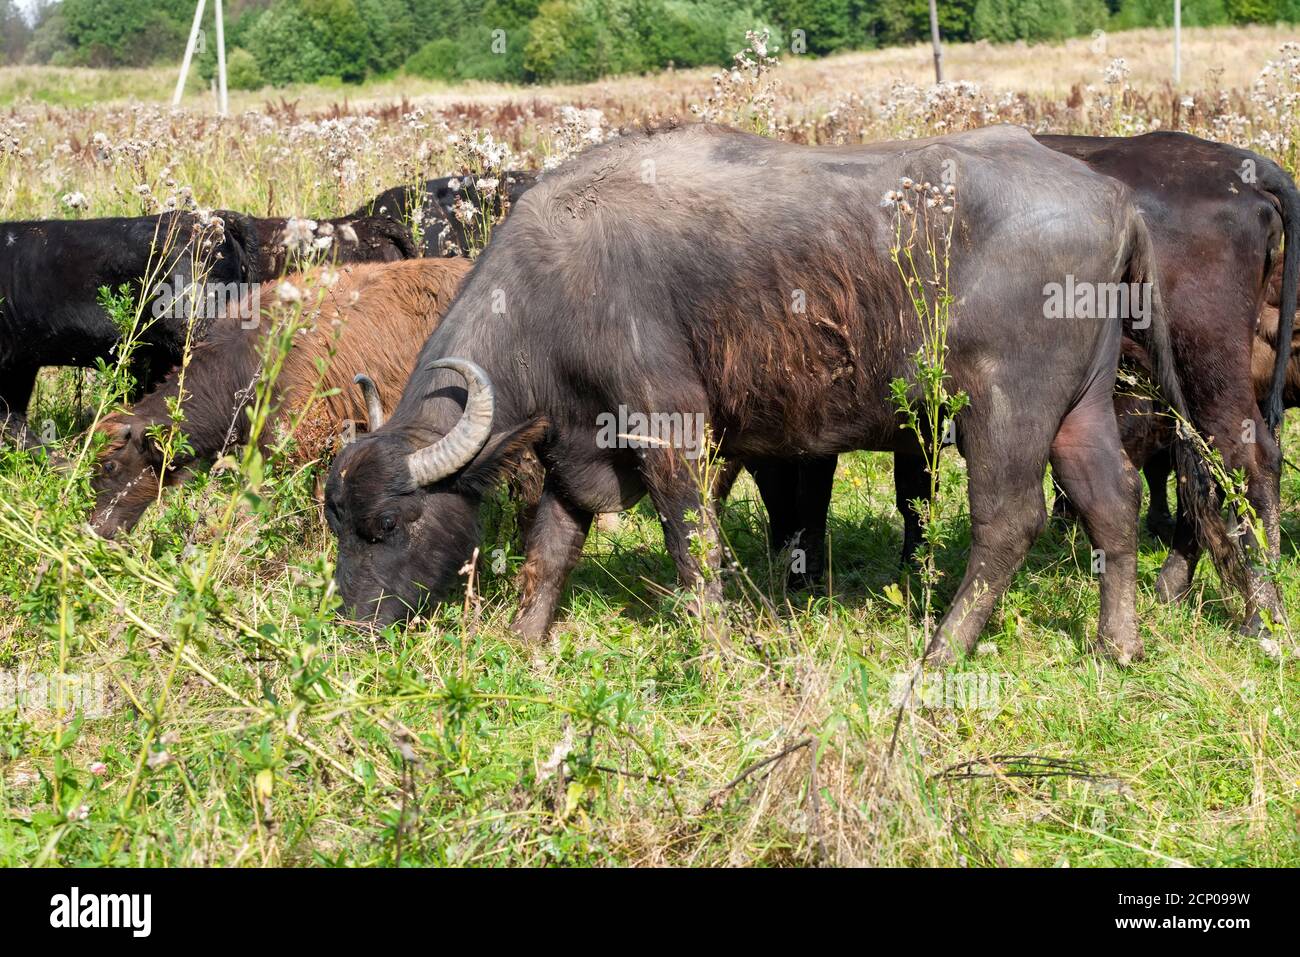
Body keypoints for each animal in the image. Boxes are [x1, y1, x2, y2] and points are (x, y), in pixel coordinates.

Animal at [325, 122, 1244, 664]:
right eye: (337, 524)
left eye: (391, 525)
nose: (354, 626)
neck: (556, 288)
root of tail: (1115, 200)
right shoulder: (576, 447)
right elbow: (550, 549)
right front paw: (524, 642)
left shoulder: (672, 433)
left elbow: (693, 545)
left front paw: (712, 647)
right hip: (1079, 406)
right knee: (1113, 501)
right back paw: (1117, 643)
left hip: (1002, 406)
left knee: (1009, 521)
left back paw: (943, 649)